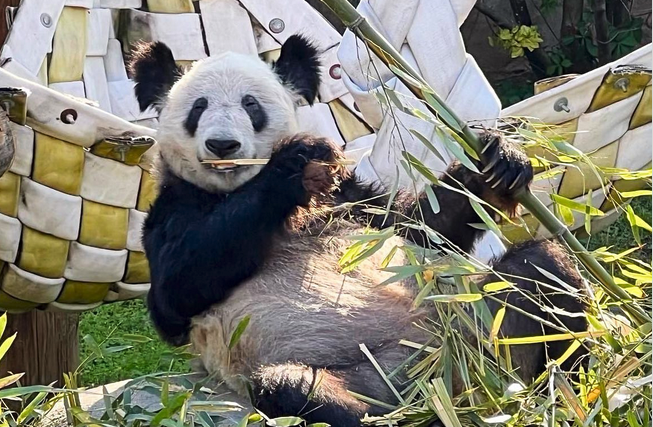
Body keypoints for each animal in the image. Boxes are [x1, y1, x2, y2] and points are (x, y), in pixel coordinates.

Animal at [129, 35, 588, 426]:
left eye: (251, 105)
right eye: (198, 108)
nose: (223, 145)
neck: (231, 189)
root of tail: (455, 378)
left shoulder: (352, 200)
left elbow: (423, 227)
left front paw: (498, 160)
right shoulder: (171, 210)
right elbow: (176, 288)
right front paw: (297, 158)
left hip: (486, 320)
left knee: (543, 275)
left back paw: (573, 389)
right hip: (365, 375)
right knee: (298, 390)